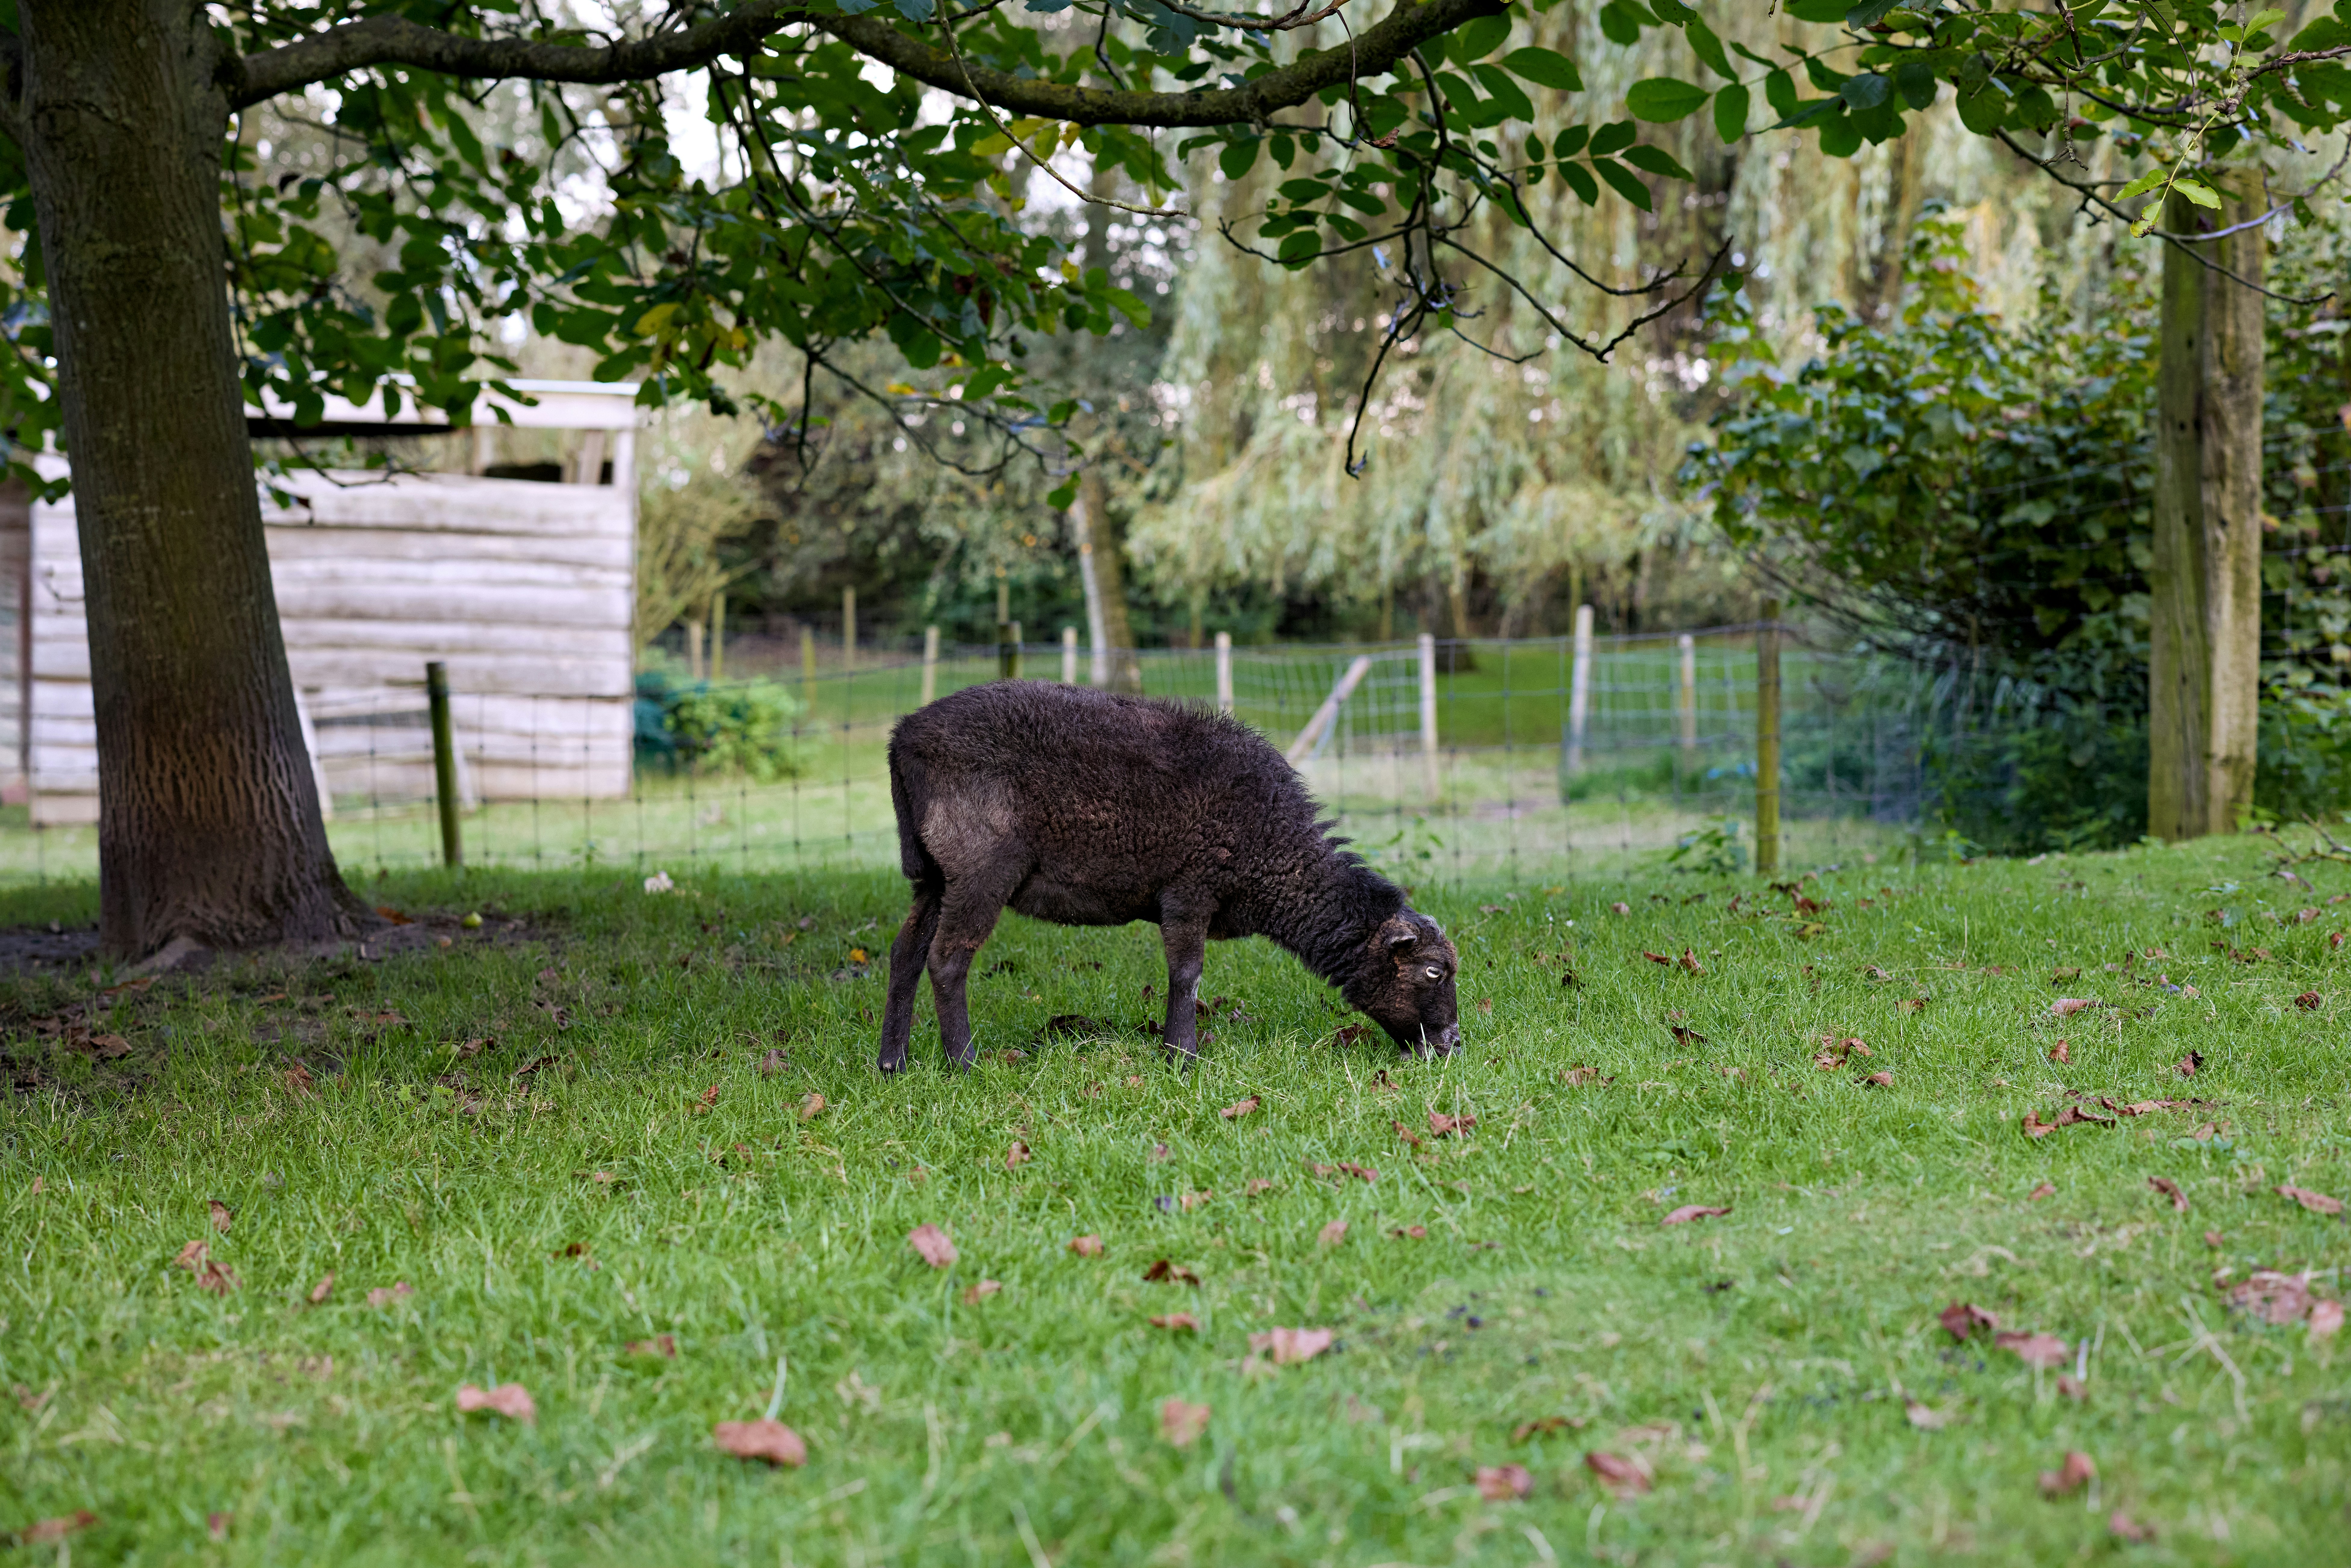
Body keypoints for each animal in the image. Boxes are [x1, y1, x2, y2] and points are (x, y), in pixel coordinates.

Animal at [876, 680, 1460, 1071]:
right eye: (1433, 971)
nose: (1453, 1043)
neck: (1272, 848)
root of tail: (903, 738)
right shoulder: (1189, 888)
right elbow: (1187, 973)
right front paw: (1182, 1056)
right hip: (981, 866)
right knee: (947, 960)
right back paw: (964, 1063)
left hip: (934, 876)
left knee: (905, 954)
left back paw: (893, 1063)